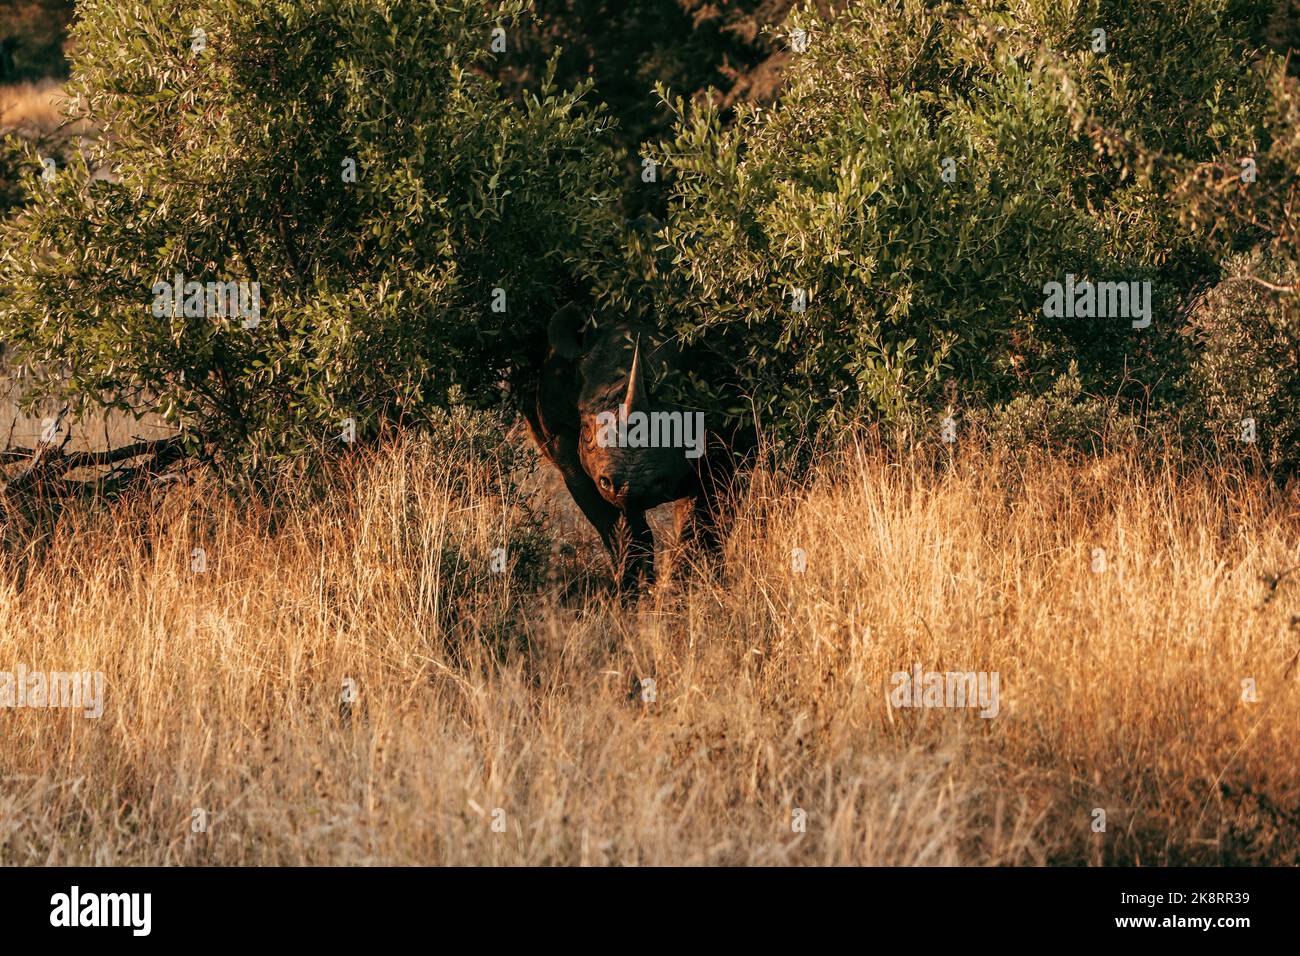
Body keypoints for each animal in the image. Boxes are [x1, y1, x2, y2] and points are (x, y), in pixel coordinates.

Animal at [521, 303, 749, 590]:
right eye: (586, 430)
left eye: (684, 429)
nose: (631, 486)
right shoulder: (561, 433)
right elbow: (611, 518)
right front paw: (633, 587)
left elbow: (706, 513)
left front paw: (685, 587)